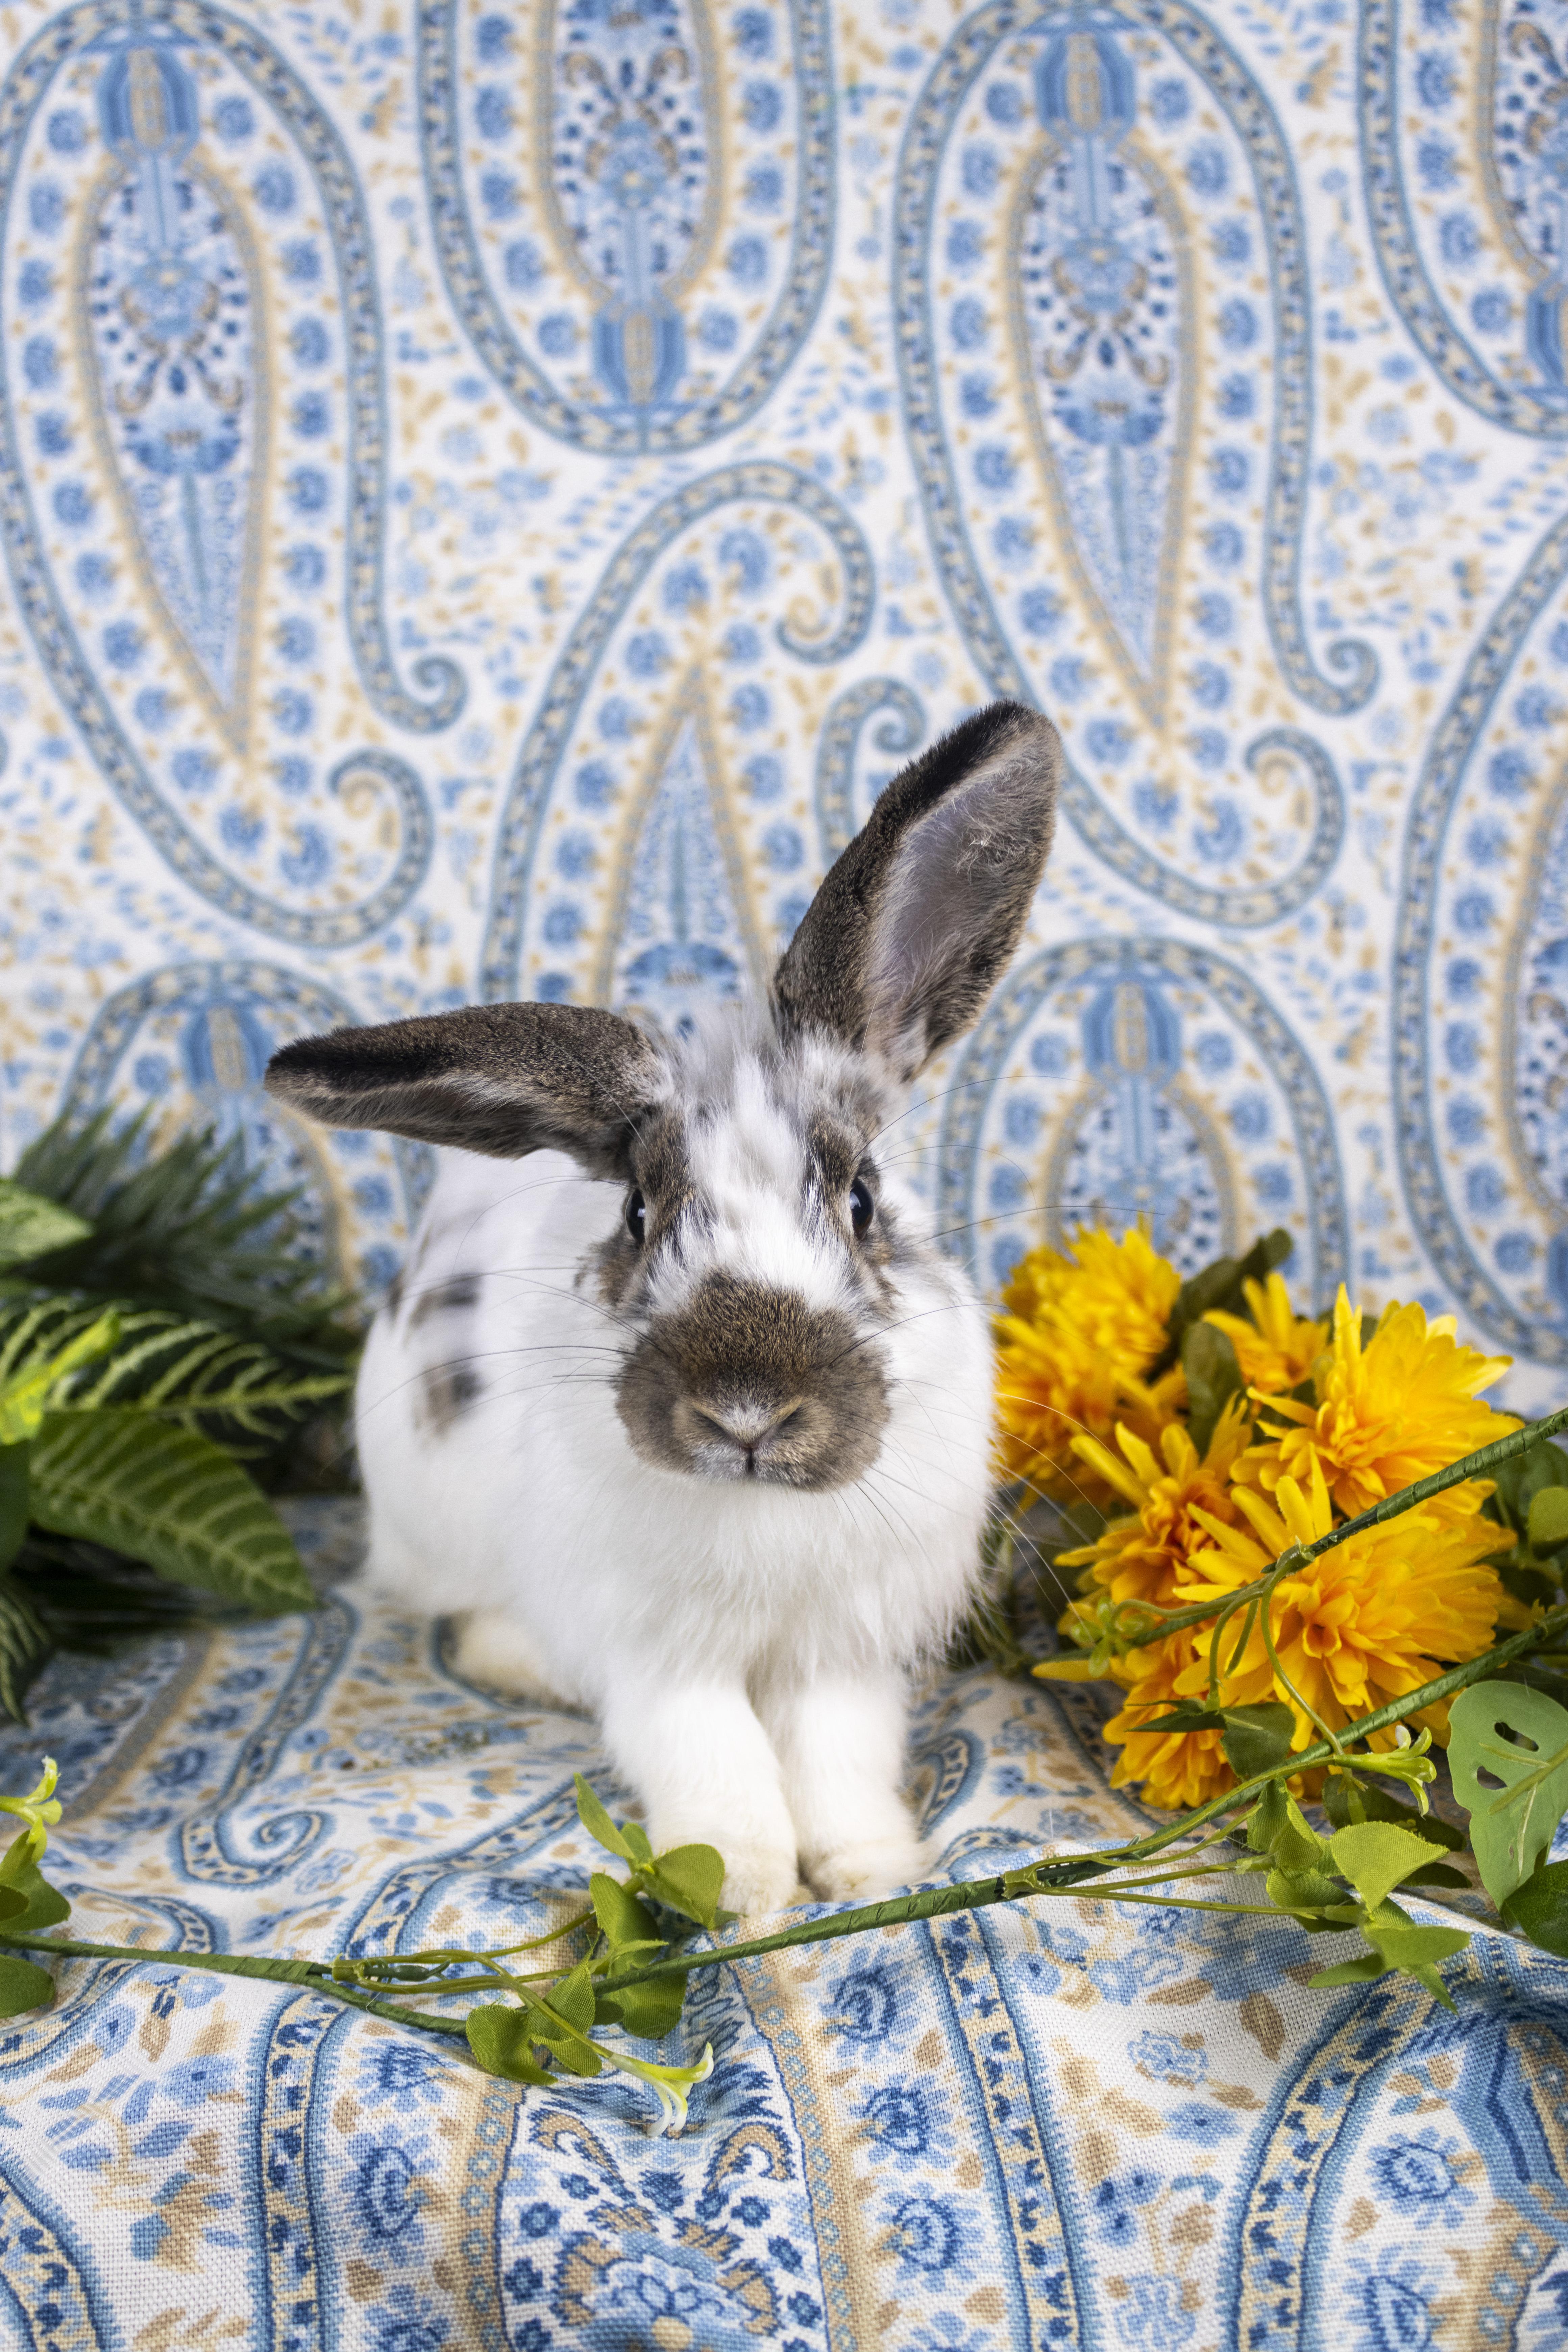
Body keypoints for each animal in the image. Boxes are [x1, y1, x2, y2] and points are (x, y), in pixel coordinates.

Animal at [265, 699, 1061, 1916]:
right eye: (638, 1213)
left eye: (863, 1198)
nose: (747, 1411)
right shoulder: (656, 1657)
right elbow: (712, 1761)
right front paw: (742, 1889)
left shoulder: (844, 1649)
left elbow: (839, 1757)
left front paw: (871, 1865)